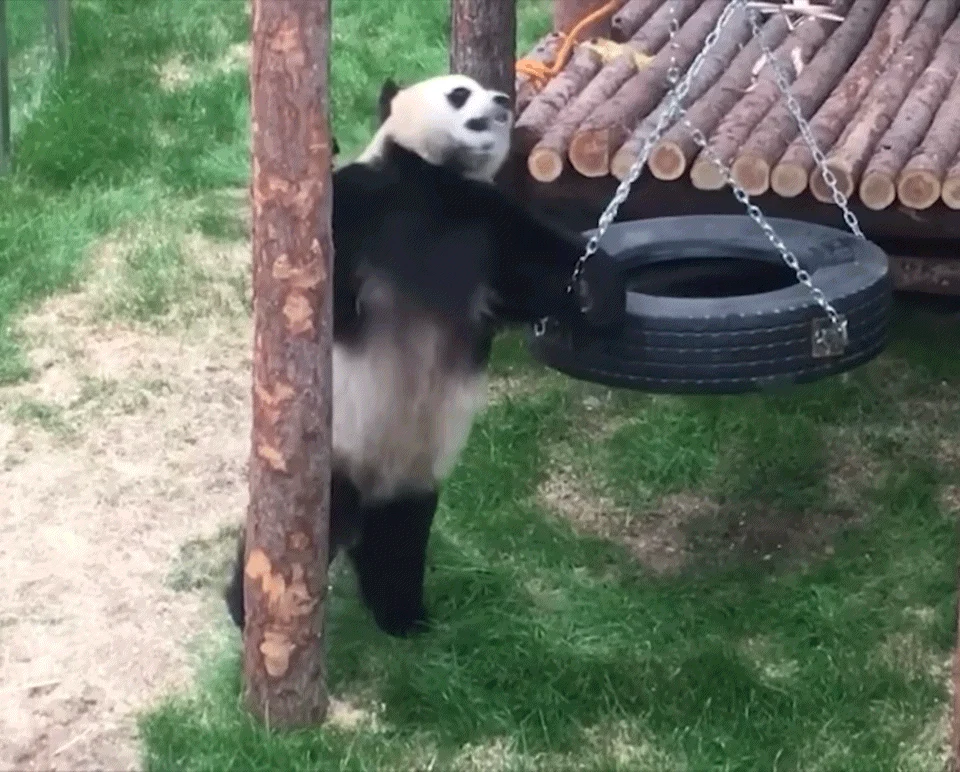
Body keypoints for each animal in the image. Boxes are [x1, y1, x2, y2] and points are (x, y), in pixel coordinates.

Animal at [225, 73, 626, 638]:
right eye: (459, 93)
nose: (502, 101)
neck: (435, 184)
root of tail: (366, 499)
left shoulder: (486, 223)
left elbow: (539, 265)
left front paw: (601, 289)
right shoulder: (368, 203)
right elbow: (317, 284)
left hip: (410, 477)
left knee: (399, 543)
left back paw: (404, 618)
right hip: (335, 458)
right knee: (314, 527)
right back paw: (244, 608)